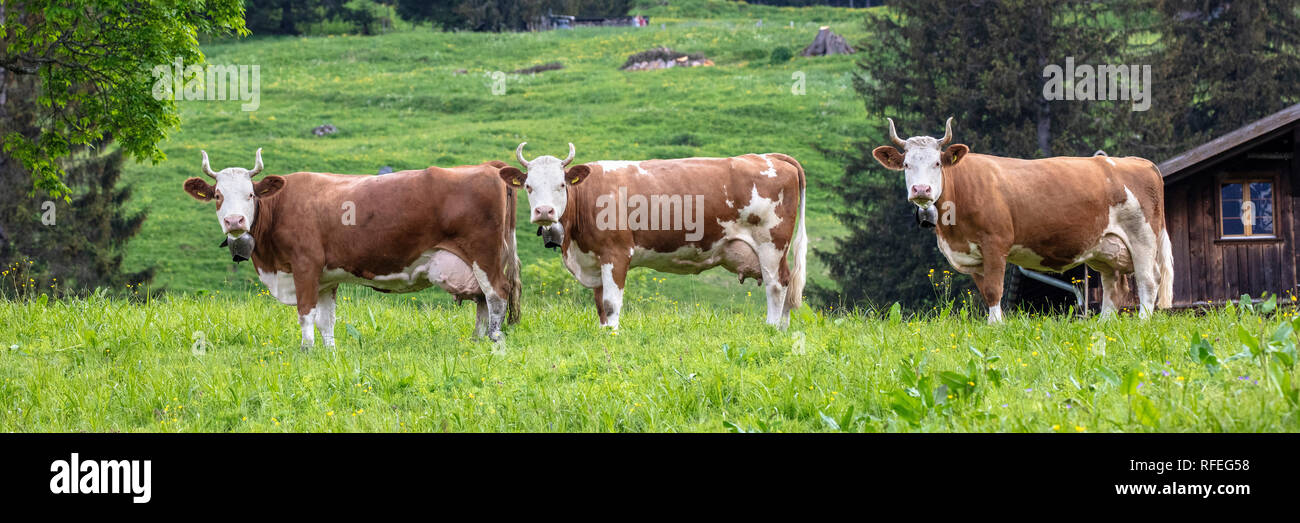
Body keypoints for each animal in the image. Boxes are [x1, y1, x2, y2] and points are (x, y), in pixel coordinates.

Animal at [182, 149, 522, 348]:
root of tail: (488, 166)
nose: (234, 220)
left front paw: (306, 352)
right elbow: (326, 320)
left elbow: (306, 315)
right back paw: (476, 340)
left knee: (496, 296)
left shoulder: (305, 267)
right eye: (217, 196)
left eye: (250, 195)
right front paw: (329, 353)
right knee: (482, 300)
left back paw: (493, 341)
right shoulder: (326, 279)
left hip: (485, 255)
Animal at [498, 143, 807, 329]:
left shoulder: (616, 254)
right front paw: (602, 335)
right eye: (528, 186)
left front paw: (613, 335)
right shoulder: (595, 259)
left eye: (561, 185)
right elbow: (599, 304)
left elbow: (611, 303)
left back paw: (771, 326)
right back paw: (782, 329)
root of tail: (769, 157)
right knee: (786, 282)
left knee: (776, 285)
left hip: (771, 243)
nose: (544, 211)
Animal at [871, 118, 1174, 322]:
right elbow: (985, 291)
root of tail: (1136, 161)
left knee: (1148, 281)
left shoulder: (995, 244)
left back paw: (1142, 322)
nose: (921, 190)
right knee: (1115, 287)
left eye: (937, 163)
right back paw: (1104, 325)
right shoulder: (972, 256)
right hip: (1105, 248)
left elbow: (994, 289)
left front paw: (996, 326)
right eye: (907, 164)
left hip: (1143, 238)